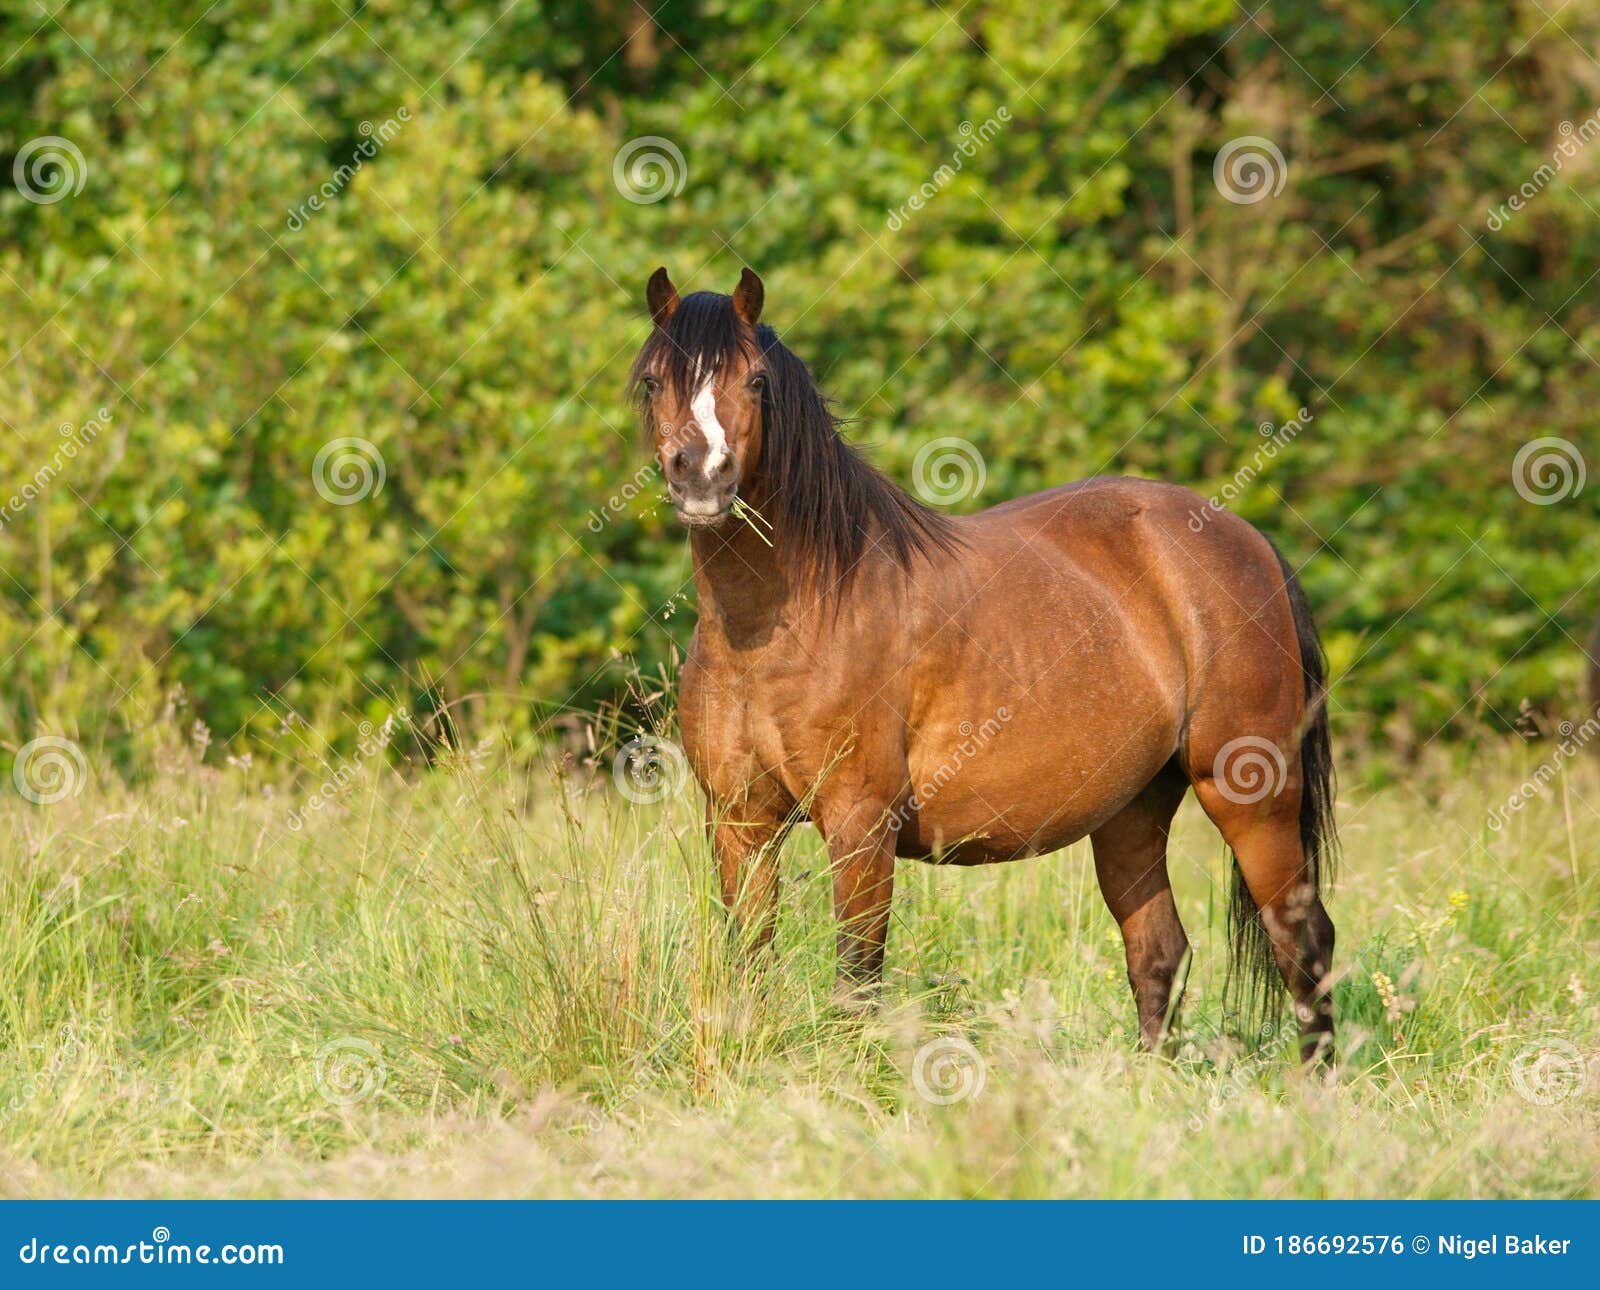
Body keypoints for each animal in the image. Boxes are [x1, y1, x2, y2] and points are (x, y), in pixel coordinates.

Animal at [630, 266, 1339, 1063]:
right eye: (655, 381)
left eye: (755, 380)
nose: (702, 477)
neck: (782, 622)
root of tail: (1246, 539)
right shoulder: (739, 823)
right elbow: (751, 961)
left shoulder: (861, 824)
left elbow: (856, 983)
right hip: (1132, 809)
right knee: (1159, 950)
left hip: (1251, 797)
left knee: (1302, 941)